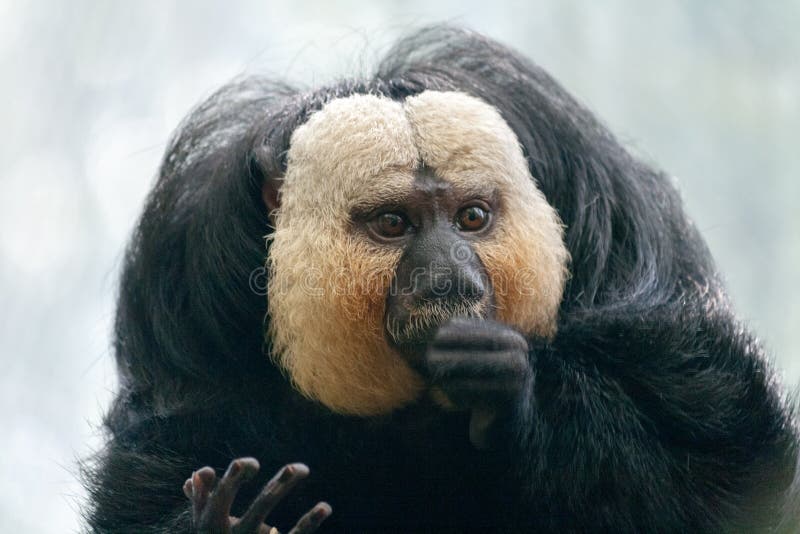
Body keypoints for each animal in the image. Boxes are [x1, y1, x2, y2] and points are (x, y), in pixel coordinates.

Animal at [83, 26, 799, 533]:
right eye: (393, 224)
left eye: (471, 218)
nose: (448, 278)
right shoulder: (188, 280)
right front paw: (229, 524)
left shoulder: (611, 212)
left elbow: (724, 462)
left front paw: (507, 386)